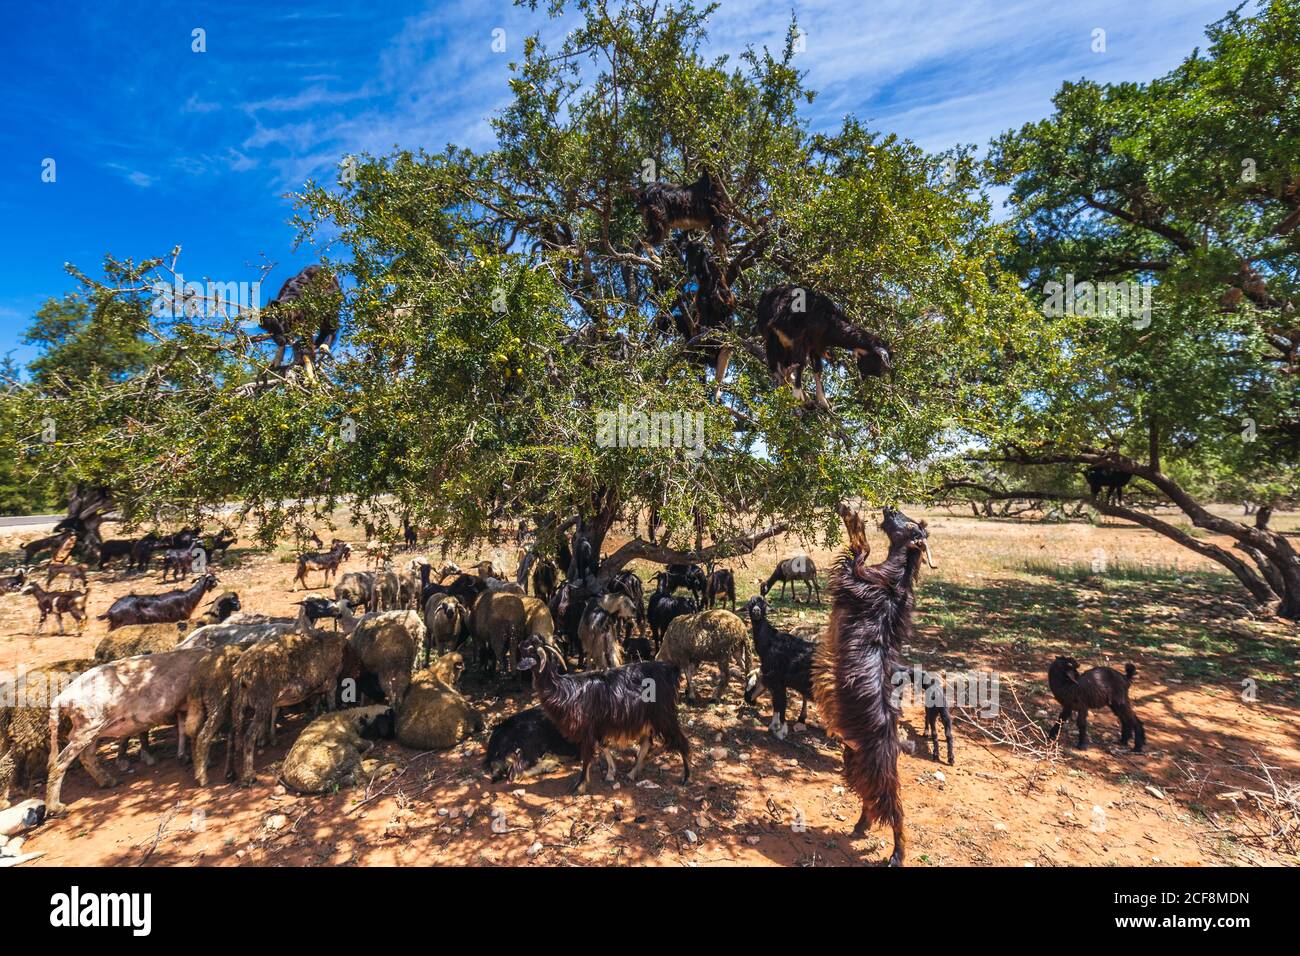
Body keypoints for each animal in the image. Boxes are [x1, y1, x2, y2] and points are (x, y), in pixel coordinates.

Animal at [517, 636, 690, 794]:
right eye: (524, 649)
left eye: (531, 650)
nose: (519, 665)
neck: (564, 690)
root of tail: (671, 670)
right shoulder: (599, 726)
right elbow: (603, 746)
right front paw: (610, 773)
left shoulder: (587, 729)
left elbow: (587, 757)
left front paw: (580, 786)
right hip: (649, 717)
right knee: (648, 741)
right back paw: (632, 773)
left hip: (664, 714)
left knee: (680, 740)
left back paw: (685, 777)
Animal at [757, 284, 892, 410]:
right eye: (879, 362)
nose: (863, 377)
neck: (828, 322)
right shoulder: (801, 340)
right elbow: (801, 364)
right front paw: (797, 395)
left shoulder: (815, 346)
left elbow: (817, 370)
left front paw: (823, 401)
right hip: (771, 333)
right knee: (773, 359)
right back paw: (781, 380)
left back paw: (787, 378)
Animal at [812, 507, 934, 866]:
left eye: (909, 524)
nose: (889, 508)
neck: (896, 578)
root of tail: (894, 743)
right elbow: (858, 552)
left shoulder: (857, 582)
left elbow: (860, 551)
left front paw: (852, 517)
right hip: (857, 763)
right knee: (870, 801)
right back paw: (860, 826)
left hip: (879, 771)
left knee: (895, 812)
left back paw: (898, 853)